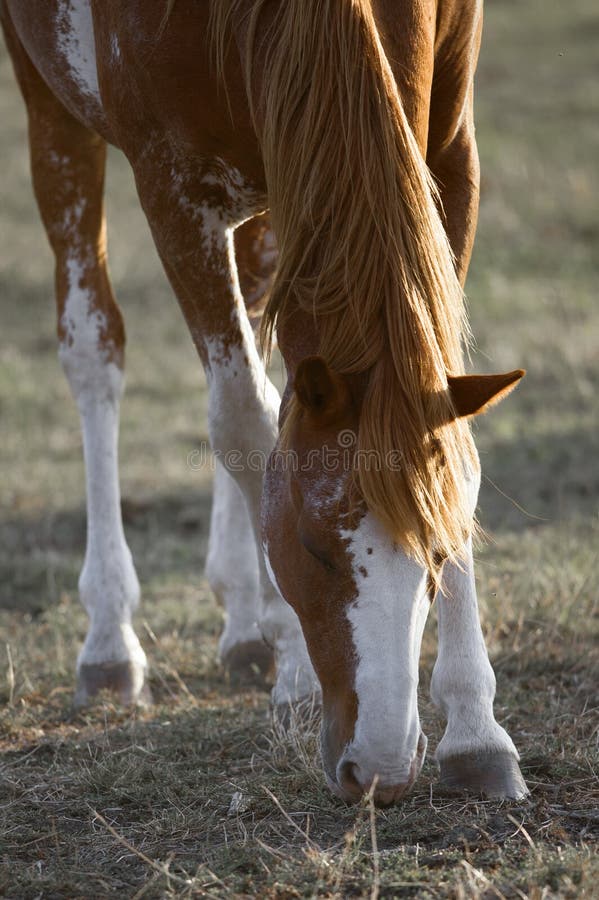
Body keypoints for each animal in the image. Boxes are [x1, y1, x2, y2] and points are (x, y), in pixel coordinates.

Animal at [1, 0, 528, 807]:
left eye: (439, 552)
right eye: (309, 547)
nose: (380, 766)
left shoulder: (448, 152)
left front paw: (476, 733)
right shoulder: (173, 184)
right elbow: (246, 419)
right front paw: (298, 676)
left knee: (254, 318)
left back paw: (244, 625)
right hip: (54, 106)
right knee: (96, 351)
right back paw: (111, 640)